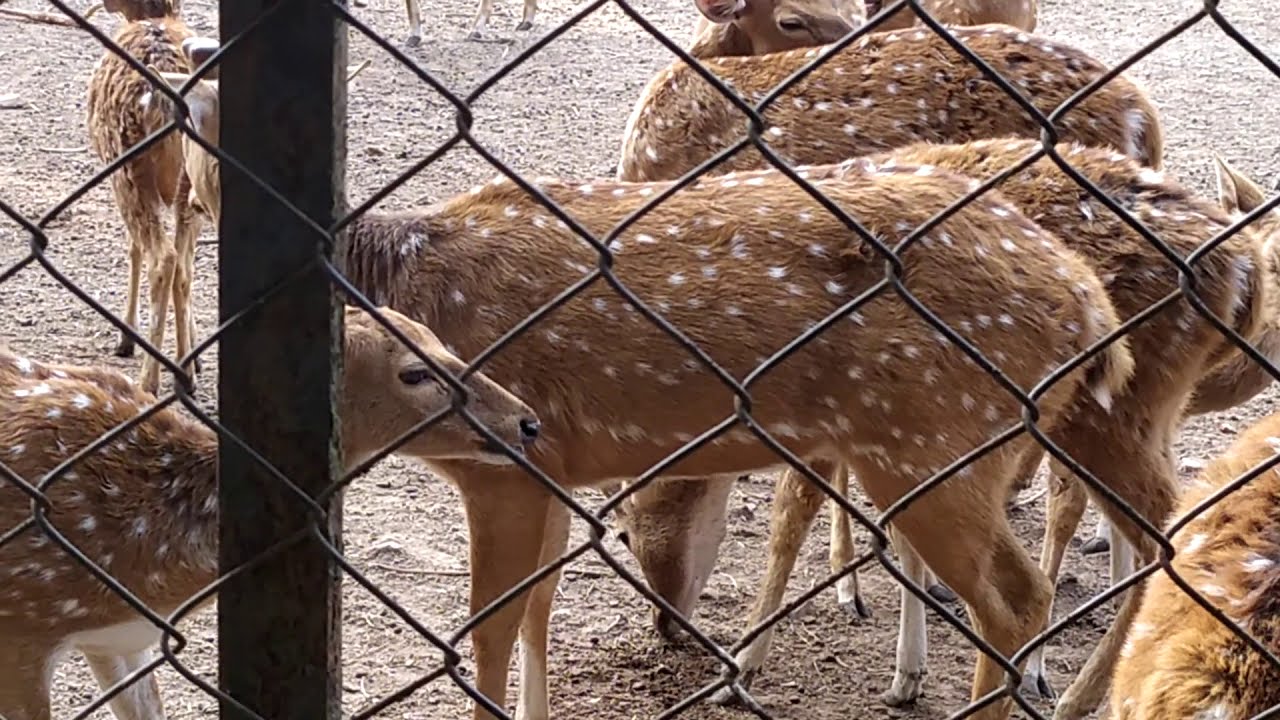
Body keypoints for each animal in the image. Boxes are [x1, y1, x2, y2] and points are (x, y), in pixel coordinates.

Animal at [86, 0, 206, 396]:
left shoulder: (116, 172)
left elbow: (133, 247)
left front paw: (126, 337)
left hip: (129, 166)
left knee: (161, 257)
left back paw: (148, 380)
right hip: (191, 177)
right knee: (182, 263)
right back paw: (186, 369)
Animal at [164, 61, 1166, 720]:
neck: (403, 277)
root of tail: (1086, 307)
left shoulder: (502, 461)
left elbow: (490, 629)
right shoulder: (551, 463)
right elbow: (537, 616)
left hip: (932, 440)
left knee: (1017, 595)